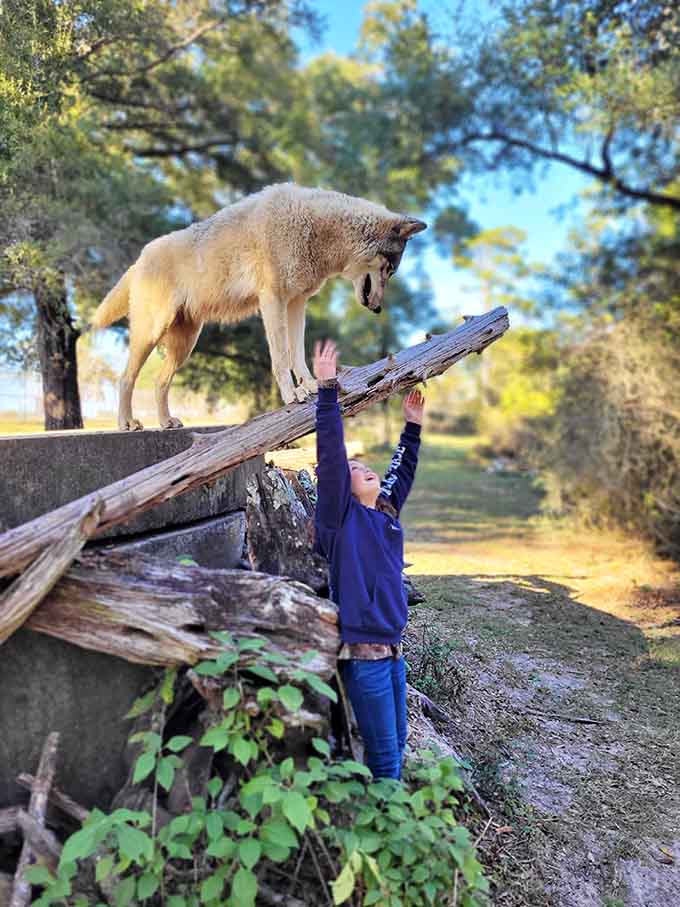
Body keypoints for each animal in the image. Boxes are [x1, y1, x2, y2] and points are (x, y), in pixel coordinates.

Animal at [91, 183, 426, 430]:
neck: (318, 229)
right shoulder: (273, 301)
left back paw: (165, 422)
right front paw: (292, 395)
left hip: (185, 346)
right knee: (125, 378)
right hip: (151, 334)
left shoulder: (297, 303)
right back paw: (127, 423)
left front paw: (310, 385)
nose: (379, 310)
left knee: (160, 381)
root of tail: (139, 259)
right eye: (389, 269)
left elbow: (297, 354)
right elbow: (280, 357)